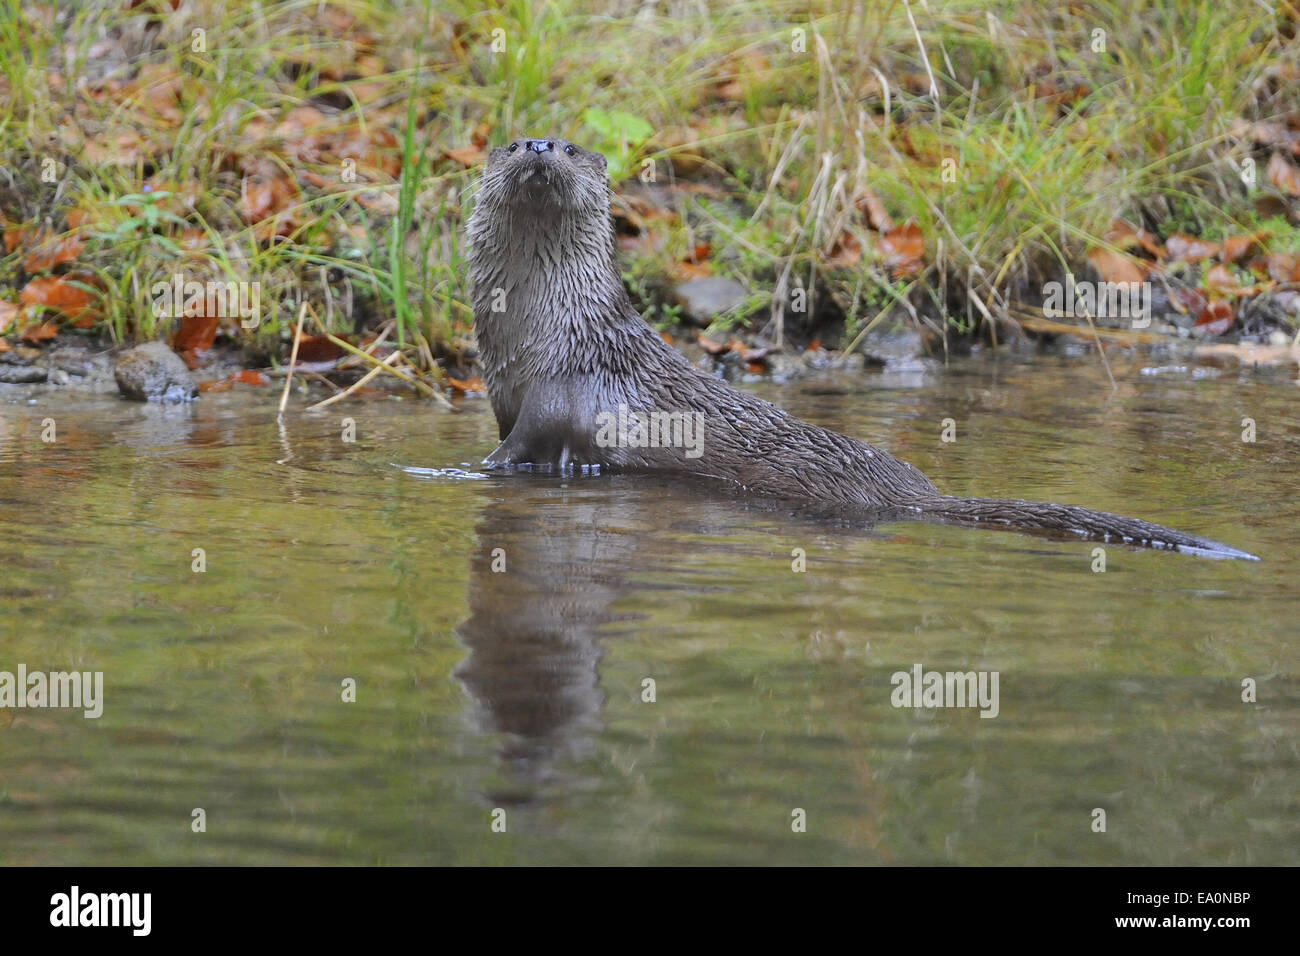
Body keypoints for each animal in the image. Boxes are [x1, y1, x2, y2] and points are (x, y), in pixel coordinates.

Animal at [467, 137, 1257, 560]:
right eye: (512, 143)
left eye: (570, 147)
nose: (540, 146)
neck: (542, 333)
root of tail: (917, 494)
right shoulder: (509, 398)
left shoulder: (559, 393)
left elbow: (515, 452)